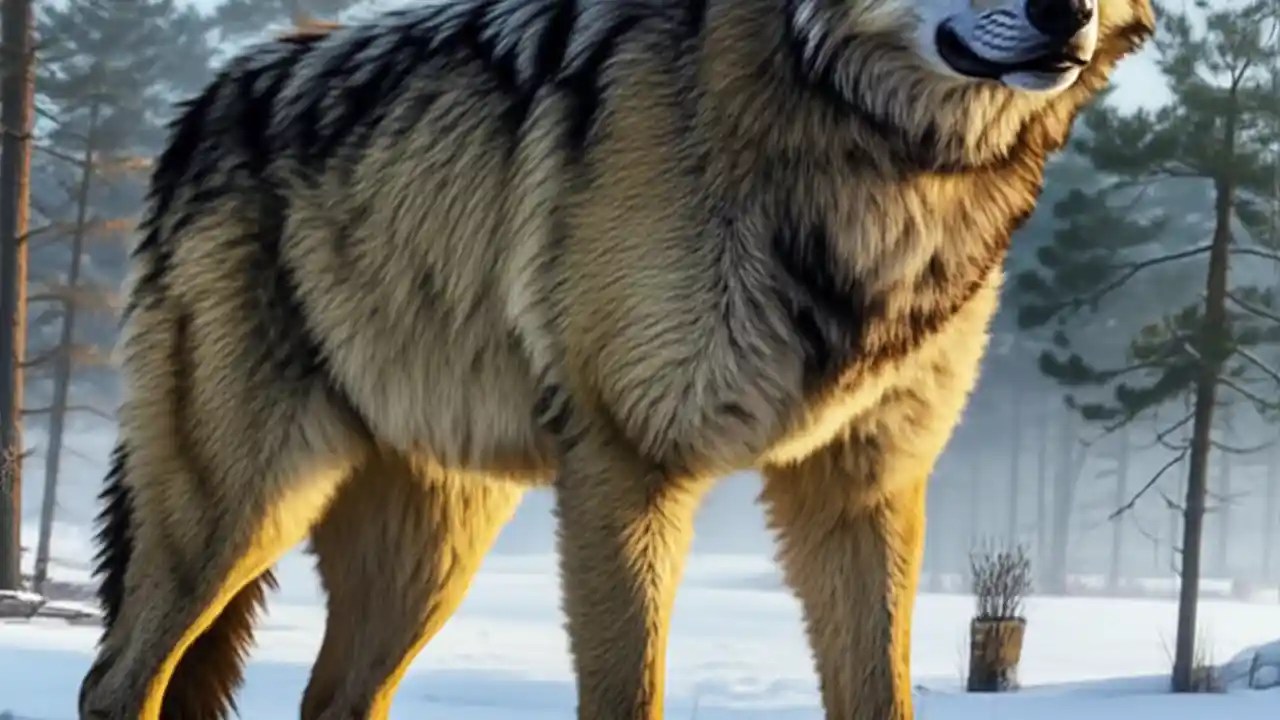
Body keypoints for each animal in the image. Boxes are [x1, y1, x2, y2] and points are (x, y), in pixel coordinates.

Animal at [77, 0, 1153, 717]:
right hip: (234, 517)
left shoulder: (862, 486)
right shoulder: (628, 467)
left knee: (331, 699)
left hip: (428, 558)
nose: (1064, 11)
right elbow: (628, 691)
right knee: (114, 682)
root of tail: (202, 108)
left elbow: (879, 692)